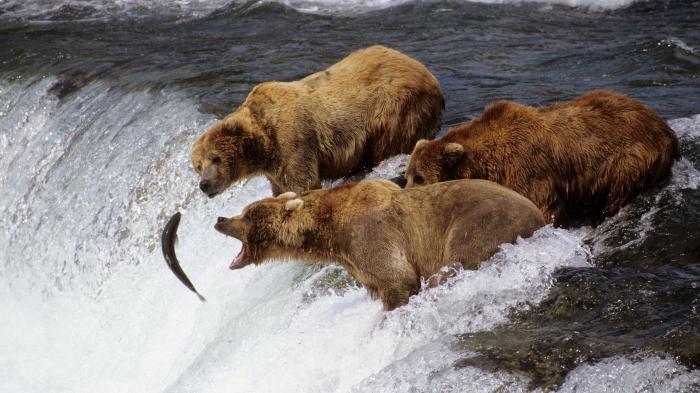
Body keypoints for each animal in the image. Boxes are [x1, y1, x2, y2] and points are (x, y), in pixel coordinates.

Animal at [216, 178, 544, 310]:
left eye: (247, 214)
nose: (220, 218)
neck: (330, 231)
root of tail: (541, 216)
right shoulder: (355, 261)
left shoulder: (369, 234)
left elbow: (398, 277)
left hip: (480, 224)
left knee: (455, 262)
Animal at [402, 88, 680, 224]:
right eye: (408, 176)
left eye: (420, 178)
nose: (405, 196)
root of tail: (666, 129)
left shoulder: (527, 171)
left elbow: (543, 208)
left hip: (630, 158)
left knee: (619, 190)